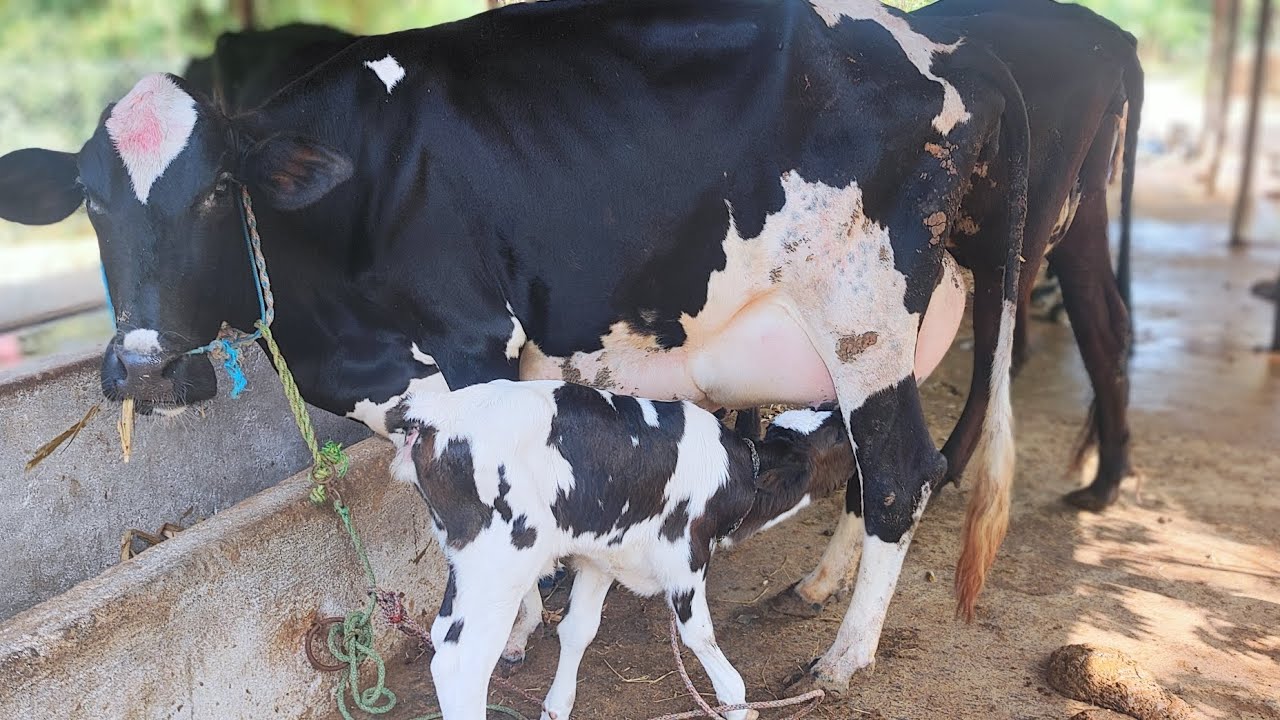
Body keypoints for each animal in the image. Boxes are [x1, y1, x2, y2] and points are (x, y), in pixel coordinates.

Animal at [388, 383, 850, 719]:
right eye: (836, 434)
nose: (847, 411)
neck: (734, 474)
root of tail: (434, 413)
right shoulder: (685, 558)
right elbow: (706, 646)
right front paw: (739, 705)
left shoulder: (601, 559)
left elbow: (577, 630)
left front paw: (556, 707)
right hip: (499, 563)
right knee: (460, 664)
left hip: (470, 564)